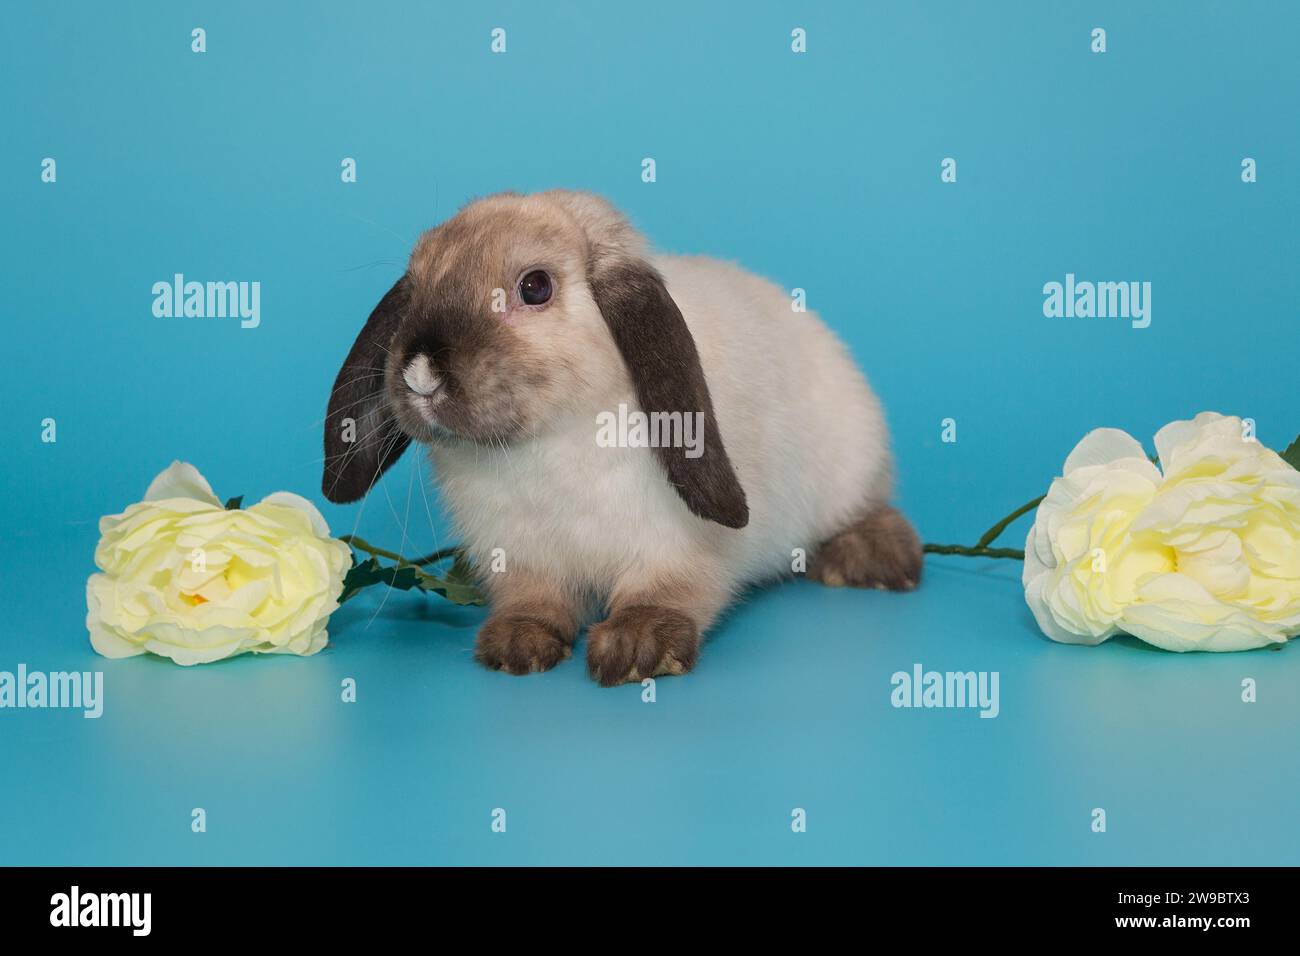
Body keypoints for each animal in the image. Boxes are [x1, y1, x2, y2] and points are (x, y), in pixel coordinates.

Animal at [322, 190, 921, 686]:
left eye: (535, 286)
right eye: (417, 286)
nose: (420, 372)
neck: (547, 442)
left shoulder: (679, 548)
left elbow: (665, 594)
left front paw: (636, 650)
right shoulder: (520, 555)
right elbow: (533, 600)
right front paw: (516, 645)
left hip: (855, 463)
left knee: (869, 509)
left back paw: (870, 562)